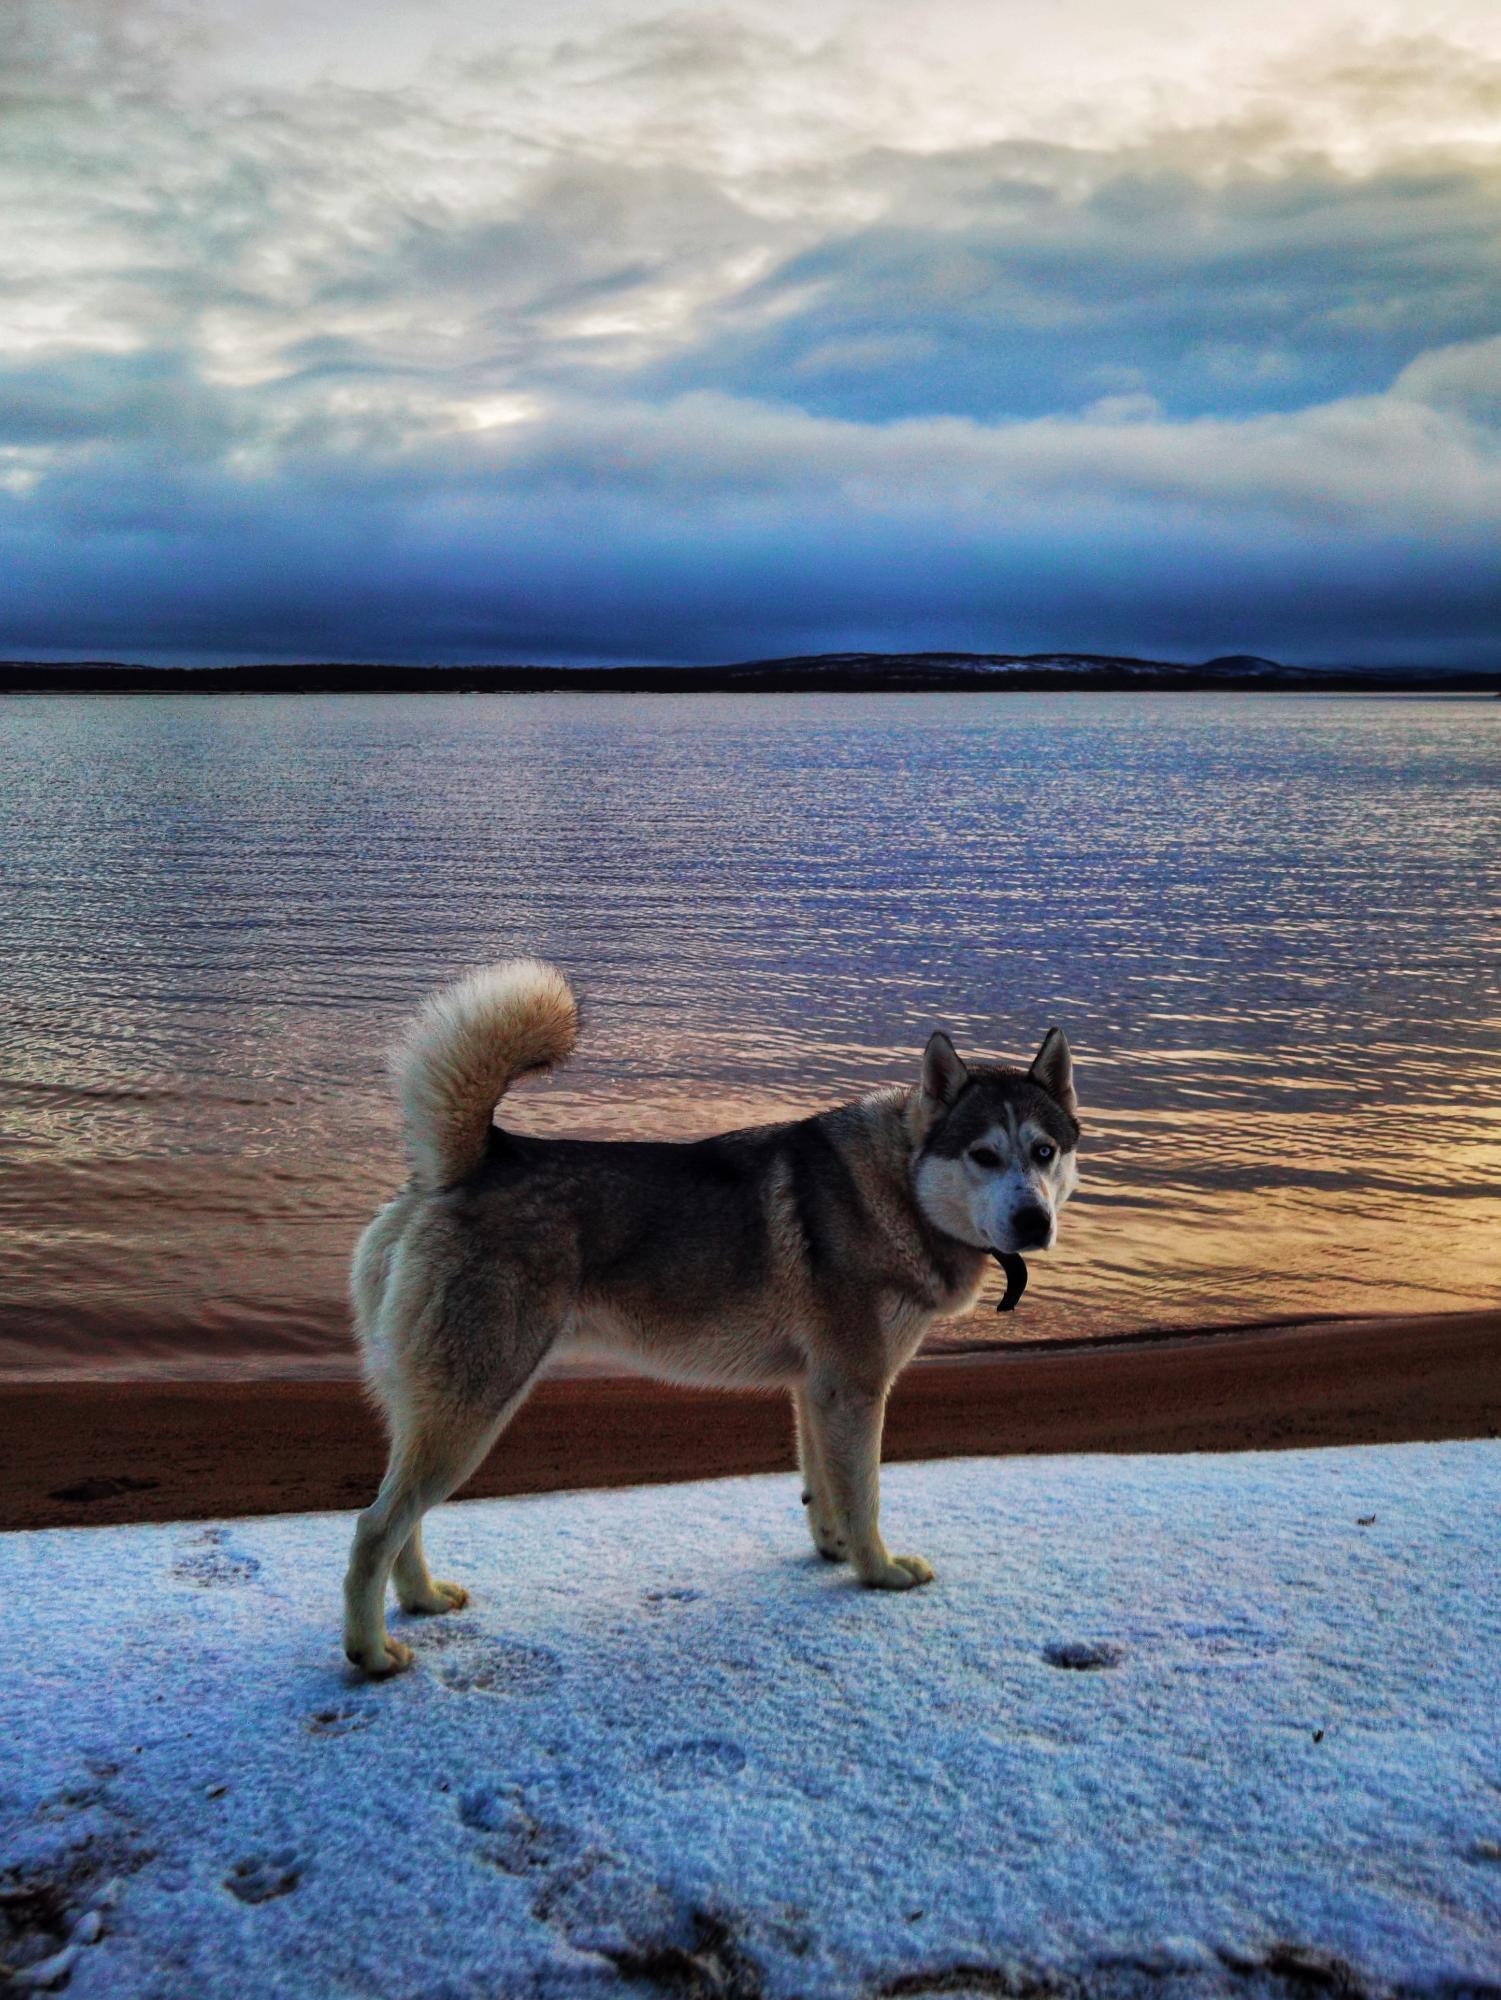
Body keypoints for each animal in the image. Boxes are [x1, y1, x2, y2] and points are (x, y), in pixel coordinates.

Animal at [346, 960, 1072, 1680]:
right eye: (982, 1155)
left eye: (1044, 1152)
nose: (1033, 1221)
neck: (899, 1186)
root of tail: (468, 1163)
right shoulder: (856, 1389)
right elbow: (863, 1496)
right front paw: (879, 1573)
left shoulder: (816, 1390)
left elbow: (824, 1490)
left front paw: (833, 1551)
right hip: (471, 1408)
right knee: (373, 1528)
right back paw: (371, 1654)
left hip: (430, 1408)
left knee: (401, 1522)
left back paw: (422, 1600)